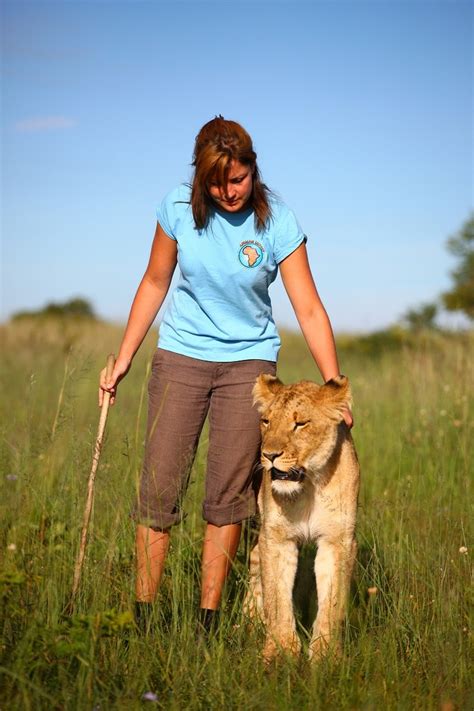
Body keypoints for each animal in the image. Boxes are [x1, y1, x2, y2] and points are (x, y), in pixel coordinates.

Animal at [245, 374, 359, 663]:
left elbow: (332, 601)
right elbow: (277, 598)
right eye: (266, 421)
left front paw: (326, 656)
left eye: (300, 424)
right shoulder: (276, 538)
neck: (307, 486)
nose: (269, 455)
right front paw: (280, 652)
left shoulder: (337, 541)